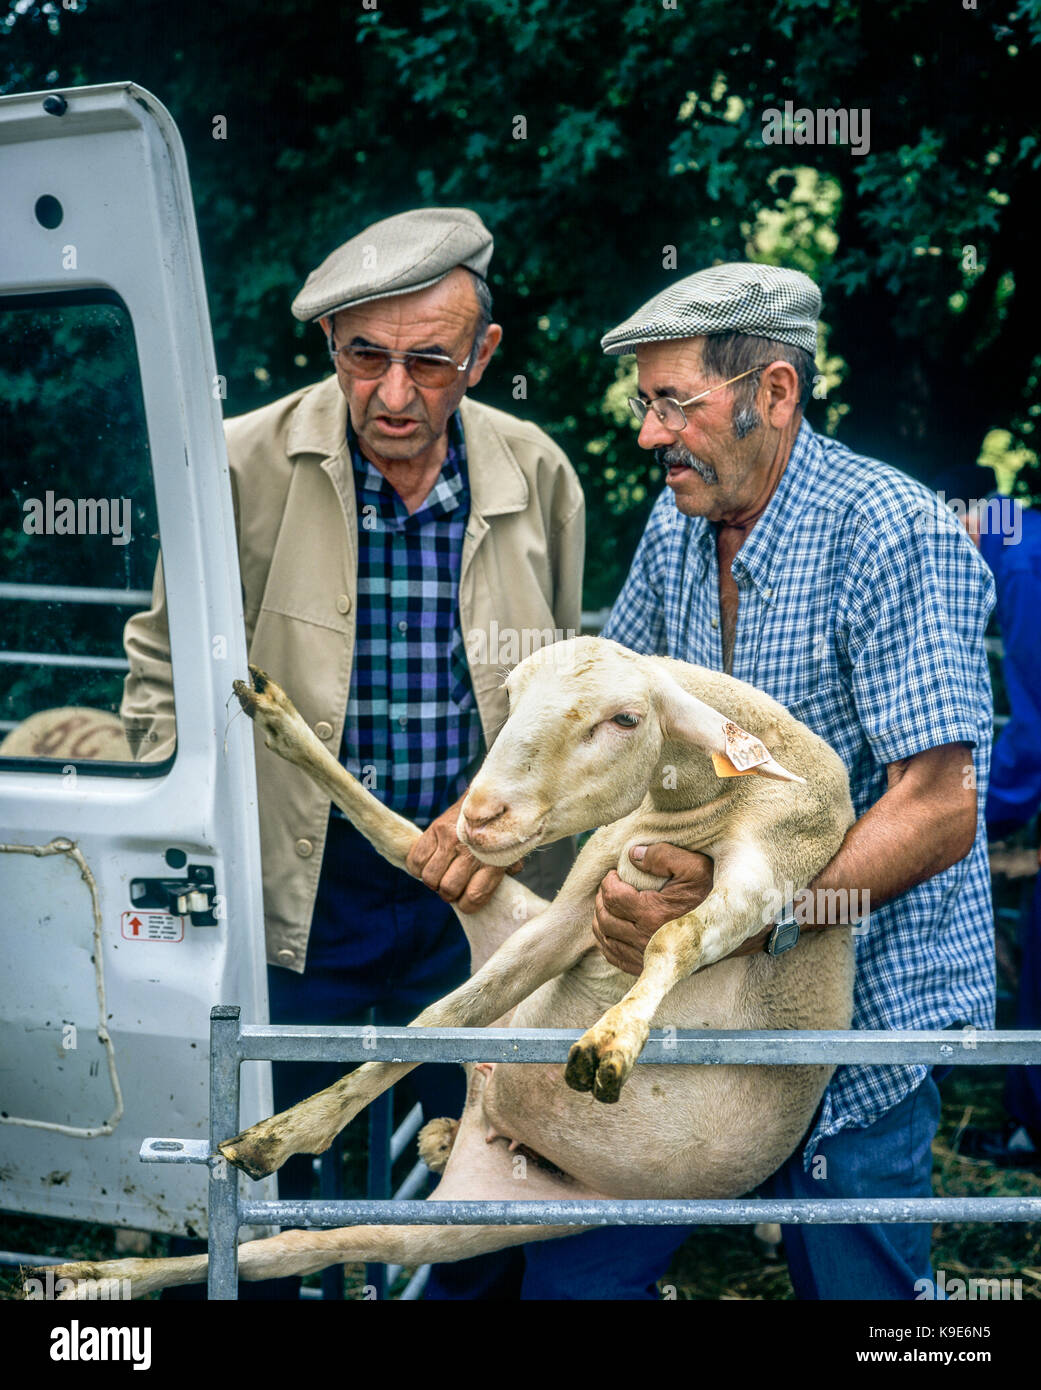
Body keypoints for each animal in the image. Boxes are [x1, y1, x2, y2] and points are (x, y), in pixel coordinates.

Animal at [39, 636, 855, 1298]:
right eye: (513, 695)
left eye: (625, 720)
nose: (481, 814)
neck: (701, 807)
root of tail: (479, 1111)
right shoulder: (573, 910)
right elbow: (442, 1014)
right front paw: (285, 1130)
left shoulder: (771, 878)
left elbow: (673, 939)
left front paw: (611, 1041)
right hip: (499, 927)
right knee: (406, 849)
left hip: (492, 1220)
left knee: (308, 1247)